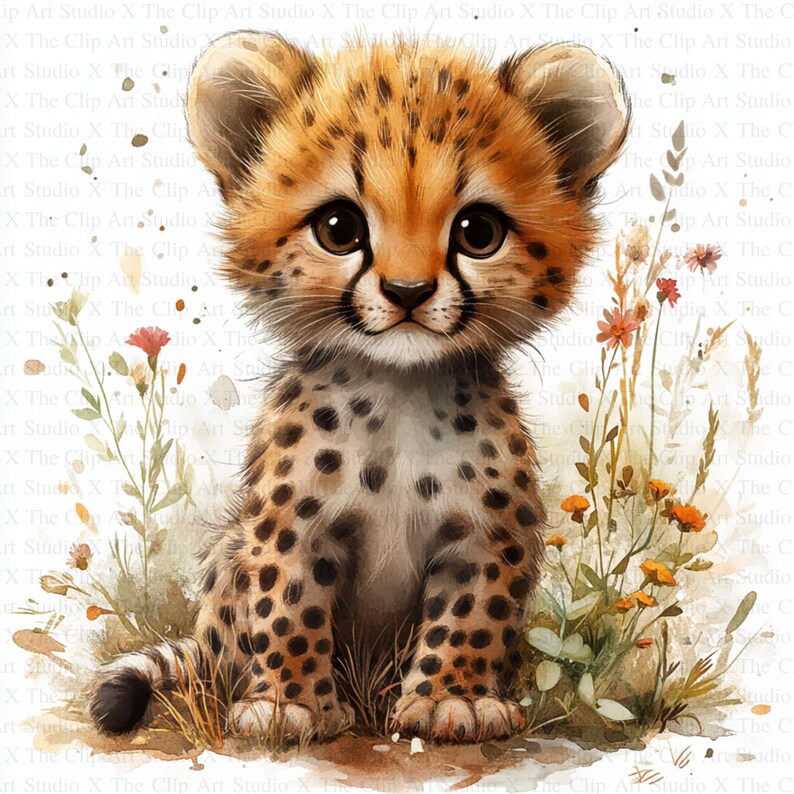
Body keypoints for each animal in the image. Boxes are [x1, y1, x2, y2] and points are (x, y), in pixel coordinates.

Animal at [89, 30, 630, 744]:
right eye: (340, 228)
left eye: (478, 232)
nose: (407, 291)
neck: (399, 389)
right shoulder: (292, 527)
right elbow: (287, 606)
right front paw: (290, 704)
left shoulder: (486, 536)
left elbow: (471, 614)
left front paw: (452, 699)